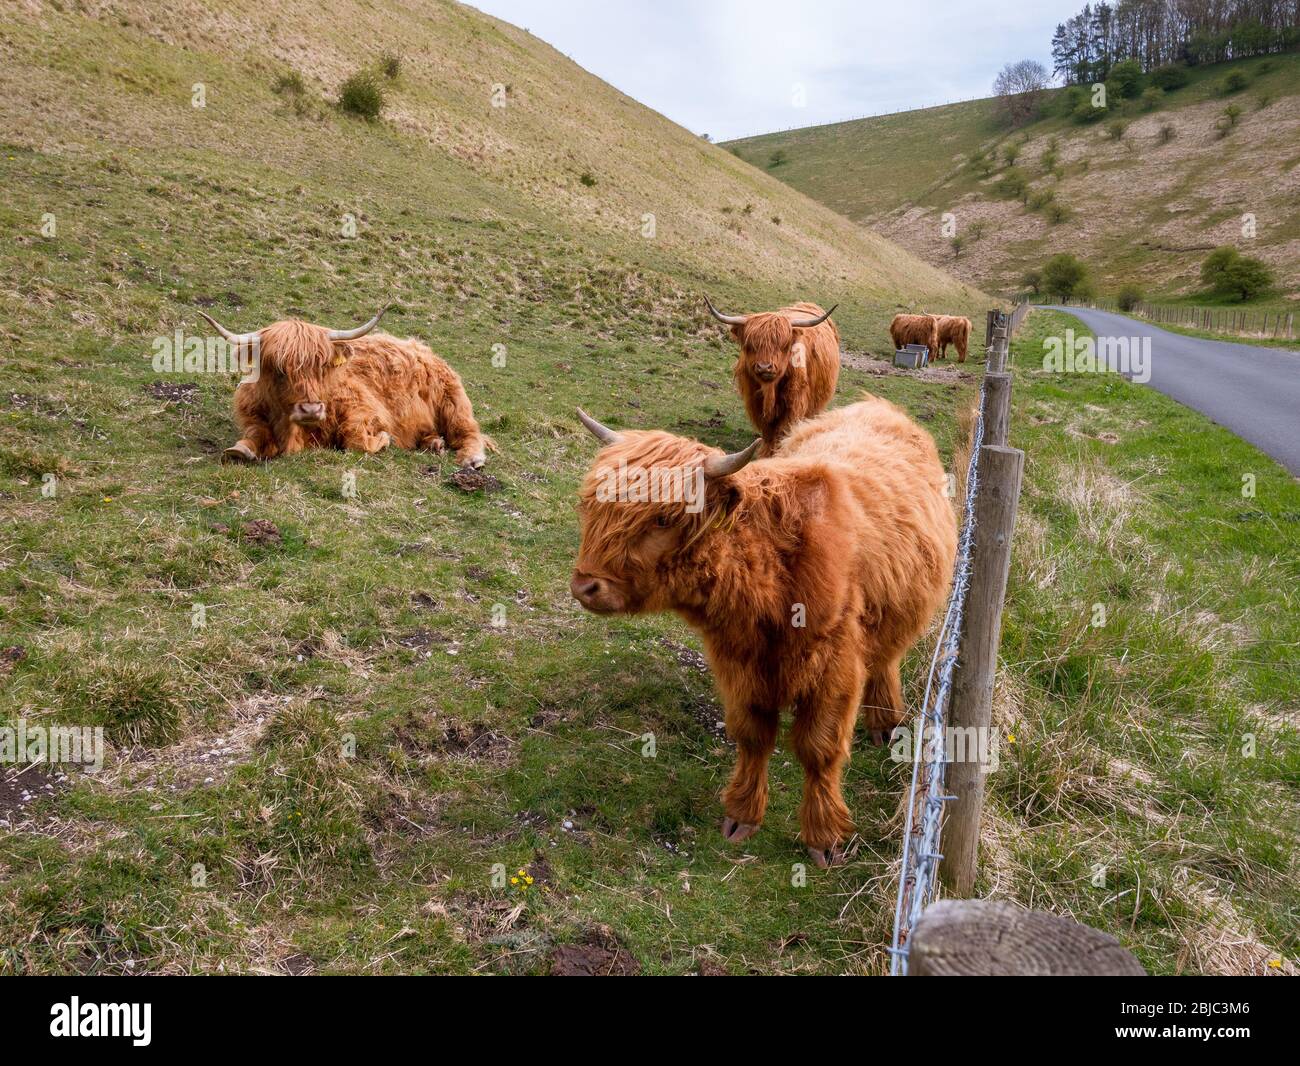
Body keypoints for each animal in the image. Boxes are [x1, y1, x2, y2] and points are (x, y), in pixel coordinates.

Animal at [198, 307, 489, 468]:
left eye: (322, 366)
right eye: (279, 369)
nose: (311, 409)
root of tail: (422, 347)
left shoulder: (366, 410)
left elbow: (356, 439)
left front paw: (384, 440)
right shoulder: (252, 415)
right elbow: (253, 434)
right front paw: (240, 450)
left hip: (453, 402)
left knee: (468, 432)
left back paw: (472, 459)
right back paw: (434, 443)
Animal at [569, 394, 957, 867]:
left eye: (662, 518)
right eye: (592, 505)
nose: (585, 586)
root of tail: (878, 405)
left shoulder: (836, 668)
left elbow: (819, 749)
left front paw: (824, 836)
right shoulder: (737, 662)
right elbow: (752, 737)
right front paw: (742, 815)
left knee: (884, 659)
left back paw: (884, 724)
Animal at [704, 296, 840, 455]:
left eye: (783, 345)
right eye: (751, 345)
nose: (764, 367)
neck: (770, 390)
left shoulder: (794, 402)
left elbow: (783, 430)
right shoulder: (756, 402)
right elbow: (768, 431)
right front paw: (766, 451)